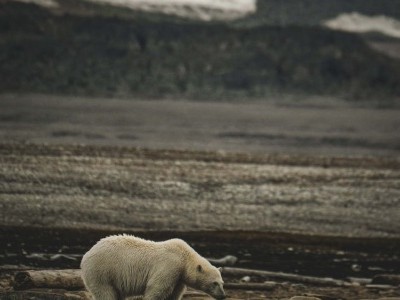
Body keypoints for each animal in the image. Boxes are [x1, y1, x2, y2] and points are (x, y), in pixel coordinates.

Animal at [79, 234, 227, 300]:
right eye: (214, 283)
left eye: (222, 283)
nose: (223, 295)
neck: (184, 257)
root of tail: (87, 254)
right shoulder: (169, 266)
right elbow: (157, 288)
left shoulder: (179, 278)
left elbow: (174, 294)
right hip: (102, 271)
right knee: (106, 293)